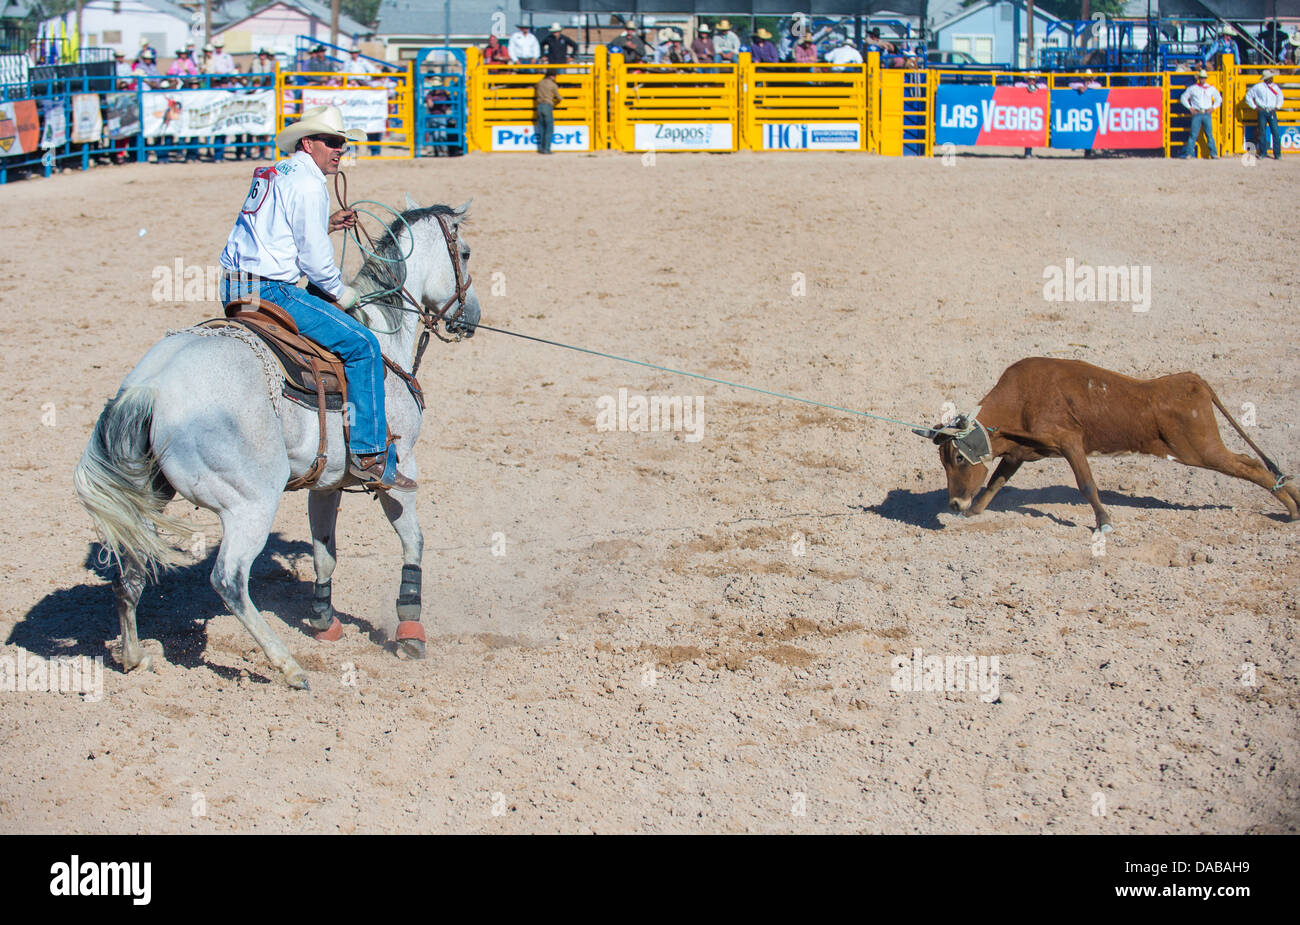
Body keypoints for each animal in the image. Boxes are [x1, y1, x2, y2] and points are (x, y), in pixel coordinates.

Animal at [925, 357, 1300, 532]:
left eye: (959, 458)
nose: (955, 503)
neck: (1023, 398)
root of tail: (1191, 381)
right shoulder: (1018, 453)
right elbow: (995, 482)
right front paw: (974, 510)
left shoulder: (1069, 442)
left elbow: (1087, 484)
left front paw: (1104, 520)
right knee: (1251, 462)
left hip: (1200, 449)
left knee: (1251, 466)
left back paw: (1291, 508)